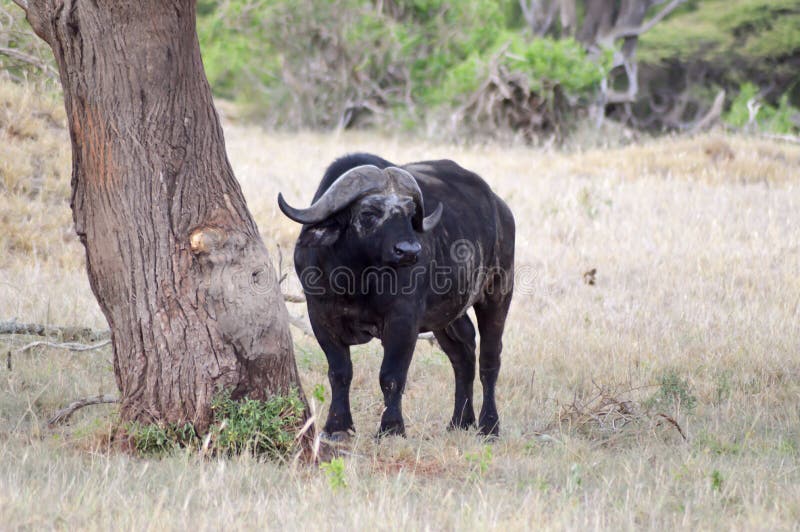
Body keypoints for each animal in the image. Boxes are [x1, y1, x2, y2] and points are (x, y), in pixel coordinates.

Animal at [278, 153, 515, 438]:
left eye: (410, 214)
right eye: (368, 213)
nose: (409, 250)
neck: (356, 279)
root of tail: (501, 210)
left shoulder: (403, 321)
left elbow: (391, 376)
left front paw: (391, 428)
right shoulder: (320, 317)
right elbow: (339, 372)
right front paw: (337, 425)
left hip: (498, 292)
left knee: (490, 359)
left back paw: (489, 425)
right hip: (448, 316)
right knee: (463, 354)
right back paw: (459, 421)